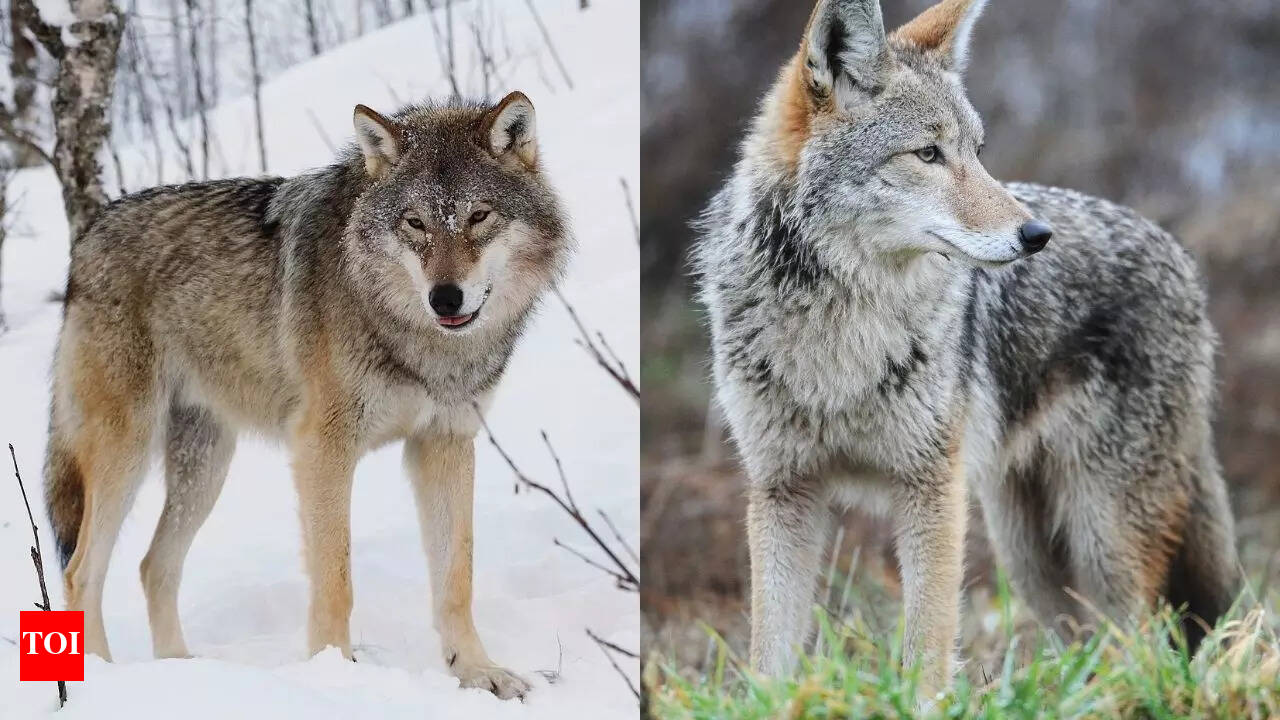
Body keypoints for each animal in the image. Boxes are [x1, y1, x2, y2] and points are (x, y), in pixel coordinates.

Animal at [43, 91, 570, 699]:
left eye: (479, 216)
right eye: (414, 223)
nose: (444, 297)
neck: (414, 337)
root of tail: (88, 235)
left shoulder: (445, 443)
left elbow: (456, 577)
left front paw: (477, 672)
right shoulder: (323, 448)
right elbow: (336, 579)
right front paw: (336, 674)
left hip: (205, 467)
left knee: (154, 567)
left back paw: (181, 671)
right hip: (125, 454)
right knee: (81, 571)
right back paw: (96, 681)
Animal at [695, 0, 1241, 696]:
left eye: (977, 153)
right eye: (928, 154)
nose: (1037, 234)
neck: (837, 335)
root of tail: (1177, 253)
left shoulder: (931, 489)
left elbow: (927, 644)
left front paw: (924, 704)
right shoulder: (783, 490)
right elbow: (771, 655)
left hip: (1098, 535)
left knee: (1146, 645)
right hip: (1028, 551)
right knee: (1092, 642)